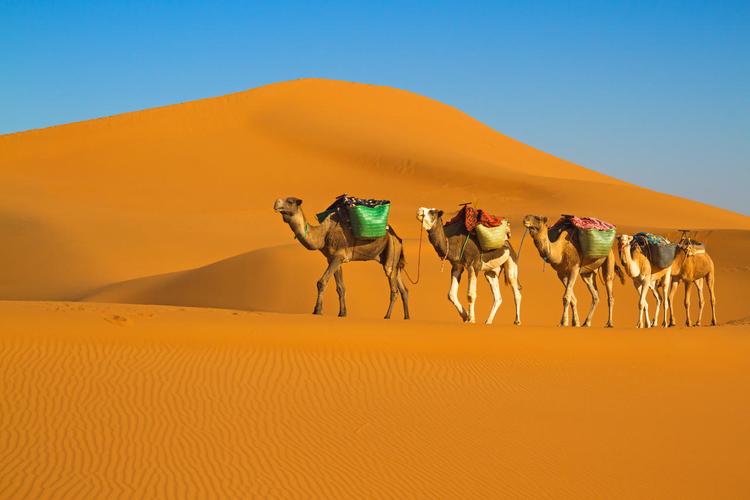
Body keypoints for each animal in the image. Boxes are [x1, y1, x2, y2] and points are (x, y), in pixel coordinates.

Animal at [274, 197, 410, 319]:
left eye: (290, 201)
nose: (276, 203)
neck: (323, 234)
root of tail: (398, 238)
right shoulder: (333, 259)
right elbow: (341, 288)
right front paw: (342, 313)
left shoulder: (338, 256)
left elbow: (322, 282)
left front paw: (317, 310)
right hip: (394, 258)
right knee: (404, 289)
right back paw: (406, 316)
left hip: (391, 250)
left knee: (393, 288)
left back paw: (387, 316)